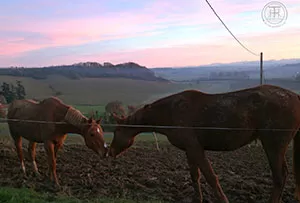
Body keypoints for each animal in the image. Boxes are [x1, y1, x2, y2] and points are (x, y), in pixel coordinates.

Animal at [109, 84, 300, 203]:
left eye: (116, 131)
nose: (109, 152)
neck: (170, 111)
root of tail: (295, 97)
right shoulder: (190, 150)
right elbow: (195, 176)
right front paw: (198, 199)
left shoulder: (195, 148)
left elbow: (210, 177)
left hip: (273, 146)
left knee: (279, 177)